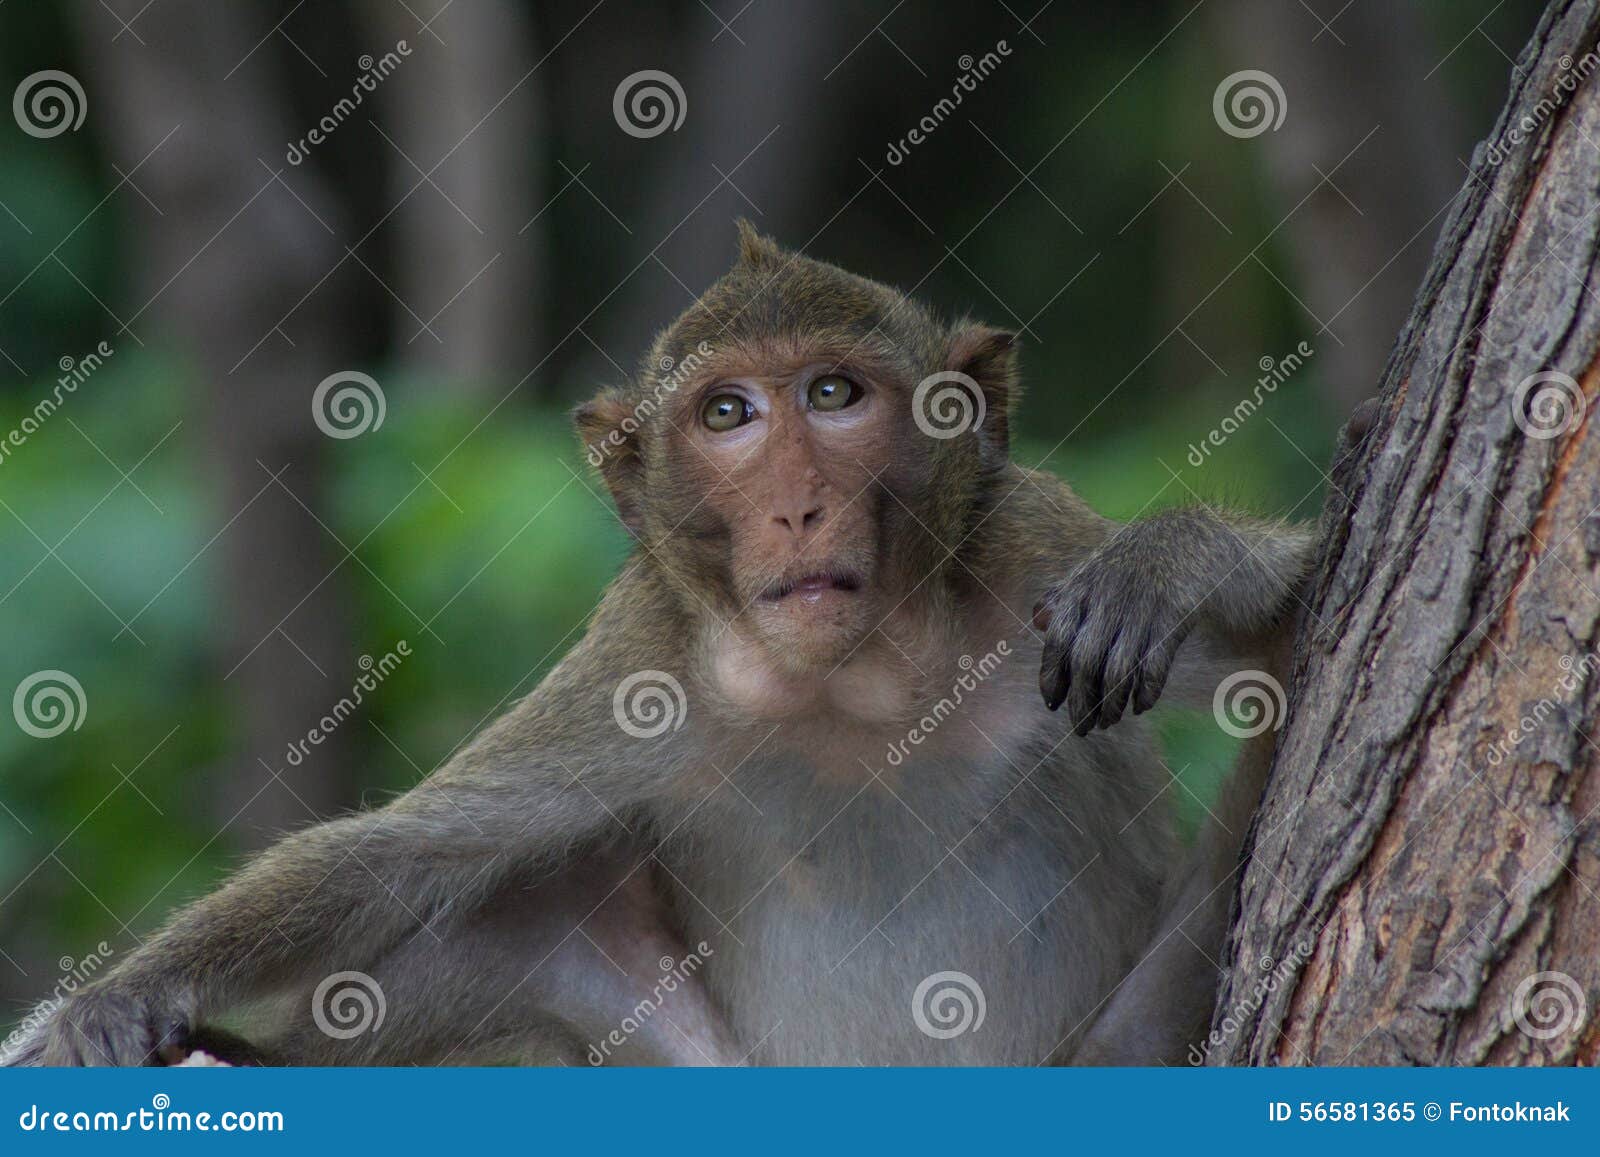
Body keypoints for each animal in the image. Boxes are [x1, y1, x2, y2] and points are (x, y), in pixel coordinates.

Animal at [3, 222, 1320, 1067]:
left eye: (833, 394)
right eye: (727, 414)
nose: (794, 505)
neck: (855, 677)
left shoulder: (1027, 547)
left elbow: (1299, 619)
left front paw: (1171, 559)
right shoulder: (642, 653)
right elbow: (395, 857)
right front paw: (112, 999)